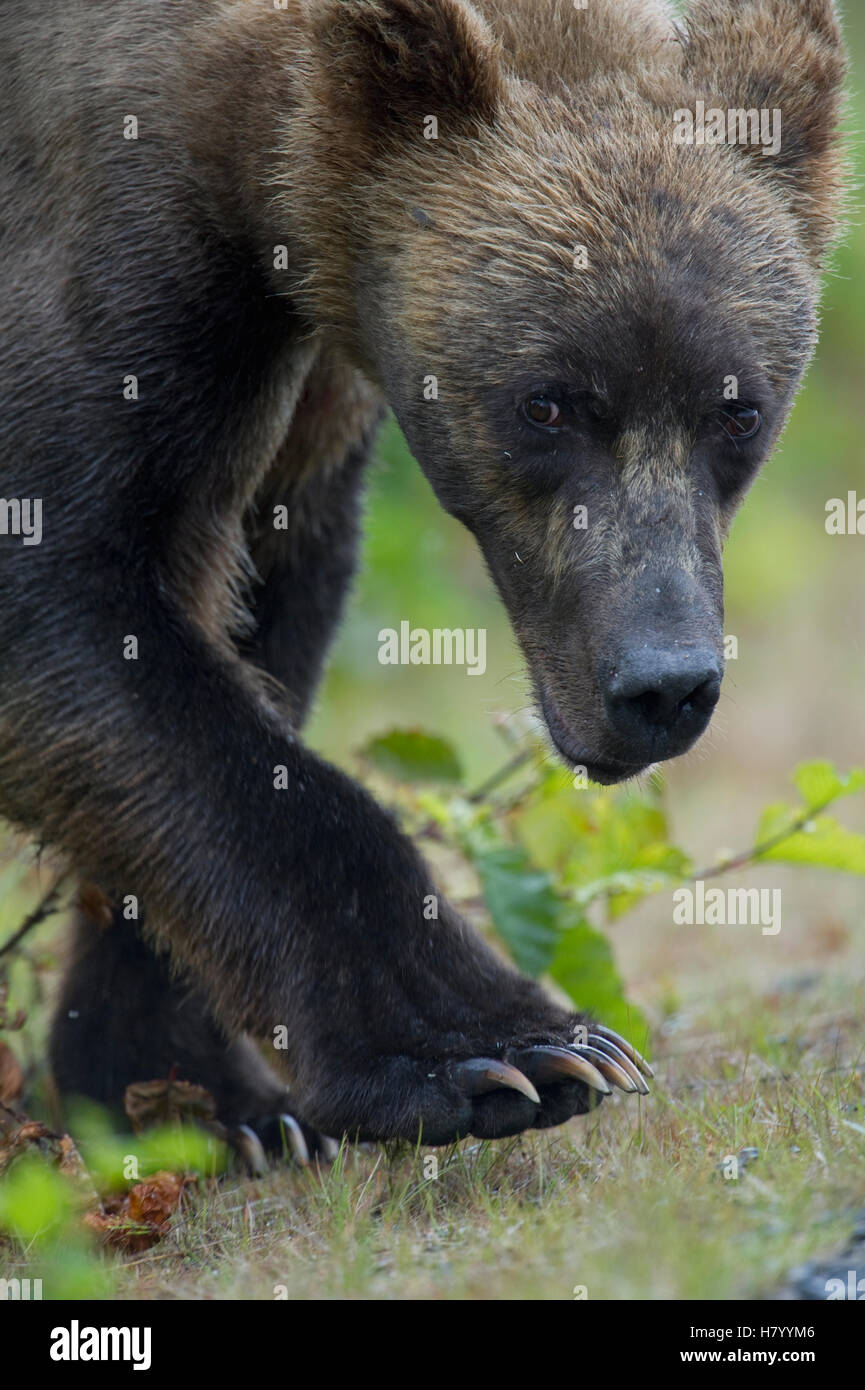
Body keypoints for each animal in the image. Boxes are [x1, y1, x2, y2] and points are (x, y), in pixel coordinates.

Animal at [0, 0, 847, 1158]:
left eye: (737, 410)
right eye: (546, 402)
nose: (662, 684)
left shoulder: (305, 389)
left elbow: (258, 612)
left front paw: (195, 1093)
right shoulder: (115, 240)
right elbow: (74, 599)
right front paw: (508, 1051)